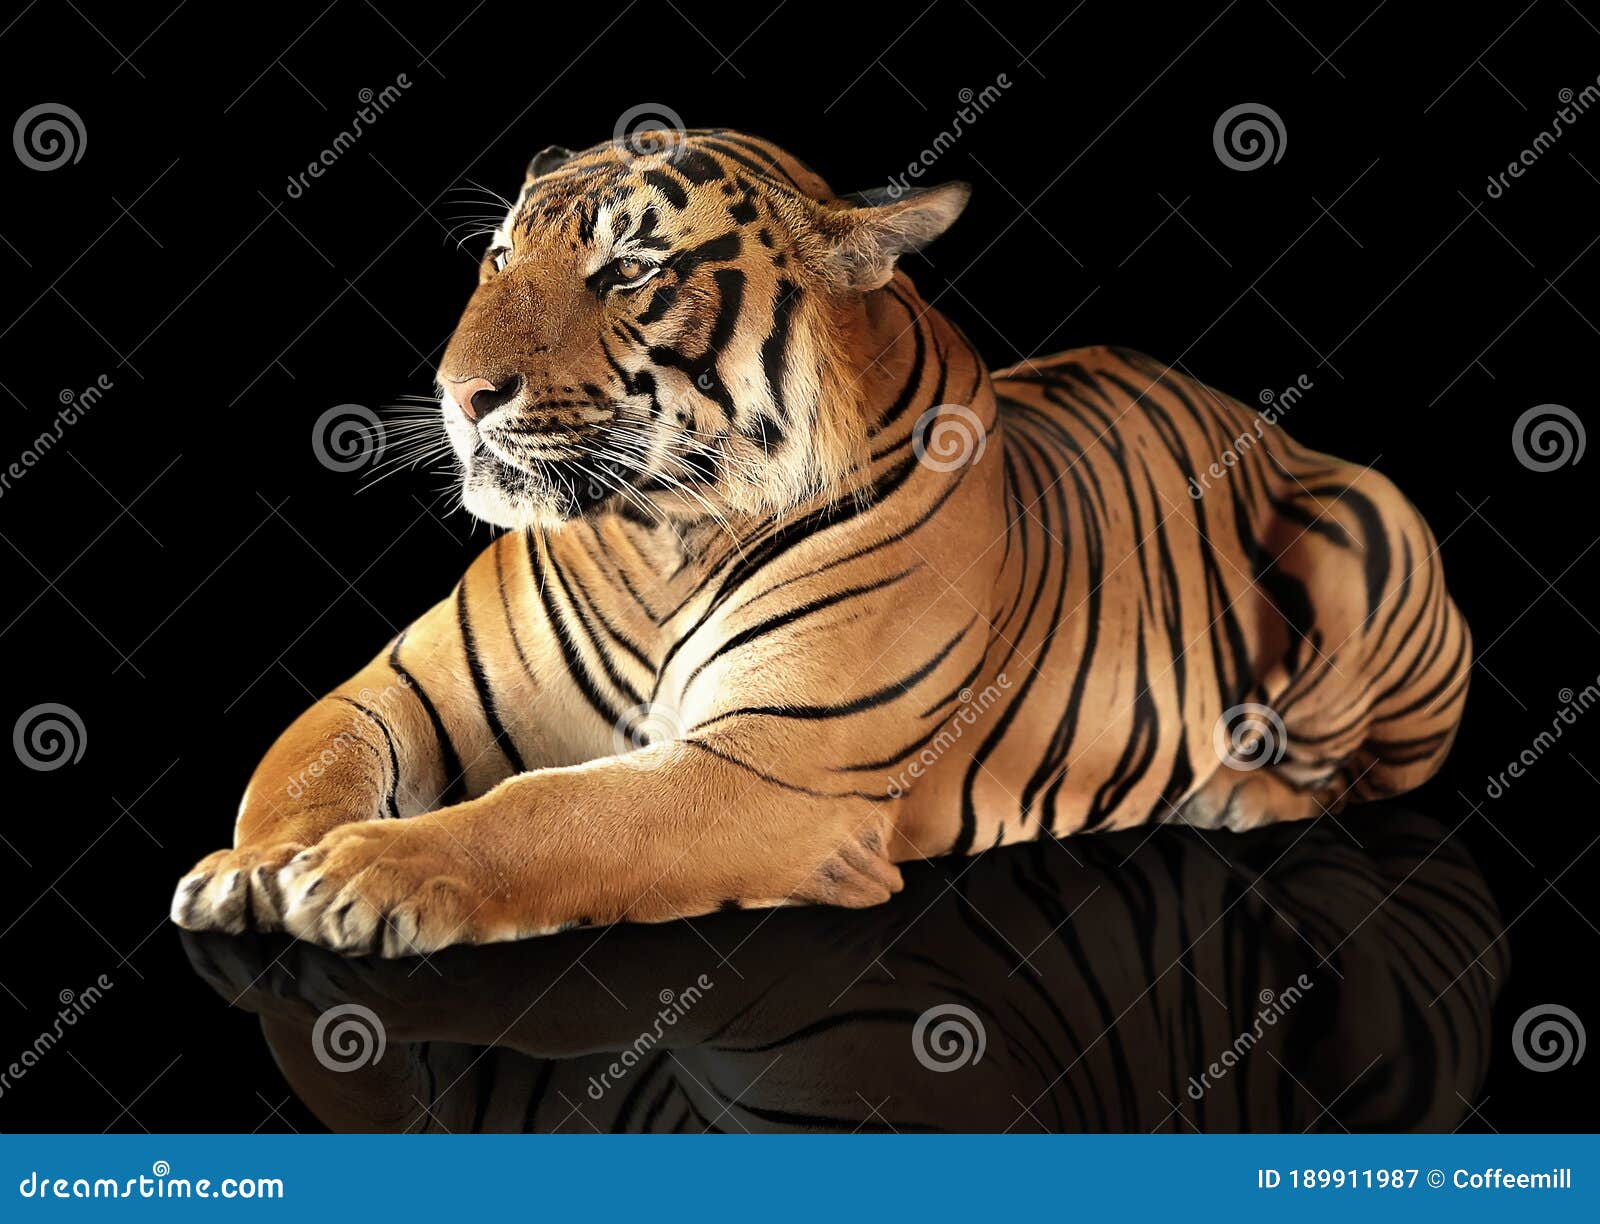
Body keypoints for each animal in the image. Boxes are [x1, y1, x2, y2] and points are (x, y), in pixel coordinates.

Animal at [170, 128, 1471, 957]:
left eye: (628, 270)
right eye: (499, 257)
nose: (460, 395)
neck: (657, 535)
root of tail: (1238, 408)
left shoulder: (770, 766)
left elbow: (552, 813)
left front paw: (365, 874)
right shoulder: (397, 687)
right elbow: (307, 763)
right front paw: (251, 872)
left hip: (1367, 521)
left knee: (1368, 767)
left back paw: (1236, 793)